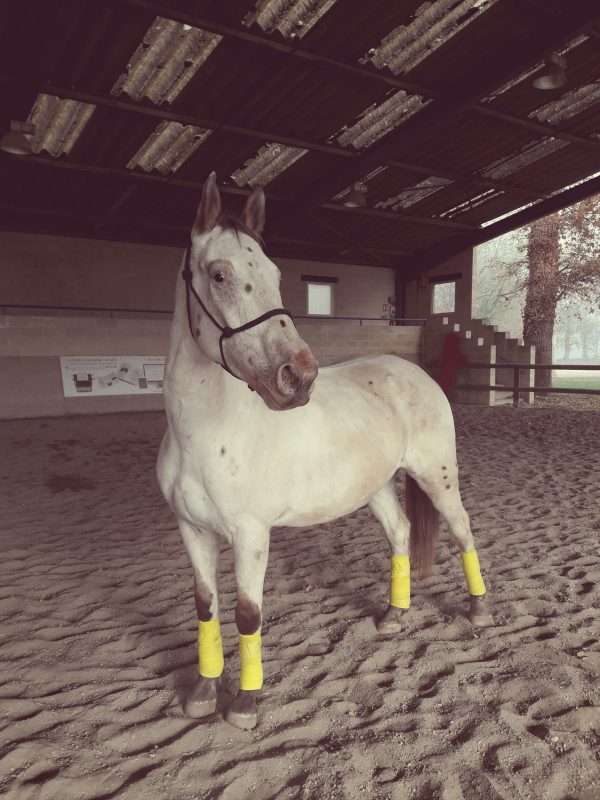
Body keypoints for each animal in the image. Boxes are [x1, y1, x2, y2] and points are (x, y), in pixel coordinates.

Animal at [156, 172, 492, 730]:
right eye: (219, 274)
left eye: (274, 273)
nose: (298, 376)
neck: (203, 434)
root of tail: (415, 373)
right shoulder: (191, 530)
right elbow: (206, 605)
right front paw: (203, 692)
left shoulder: (251, 535)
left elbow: (247, 613)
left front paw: (244, 704)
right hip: (376, 486)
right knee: (401, 533)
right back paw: (394, 615)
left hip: (437, 474)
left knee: (463, 529)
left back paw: (477, 610)